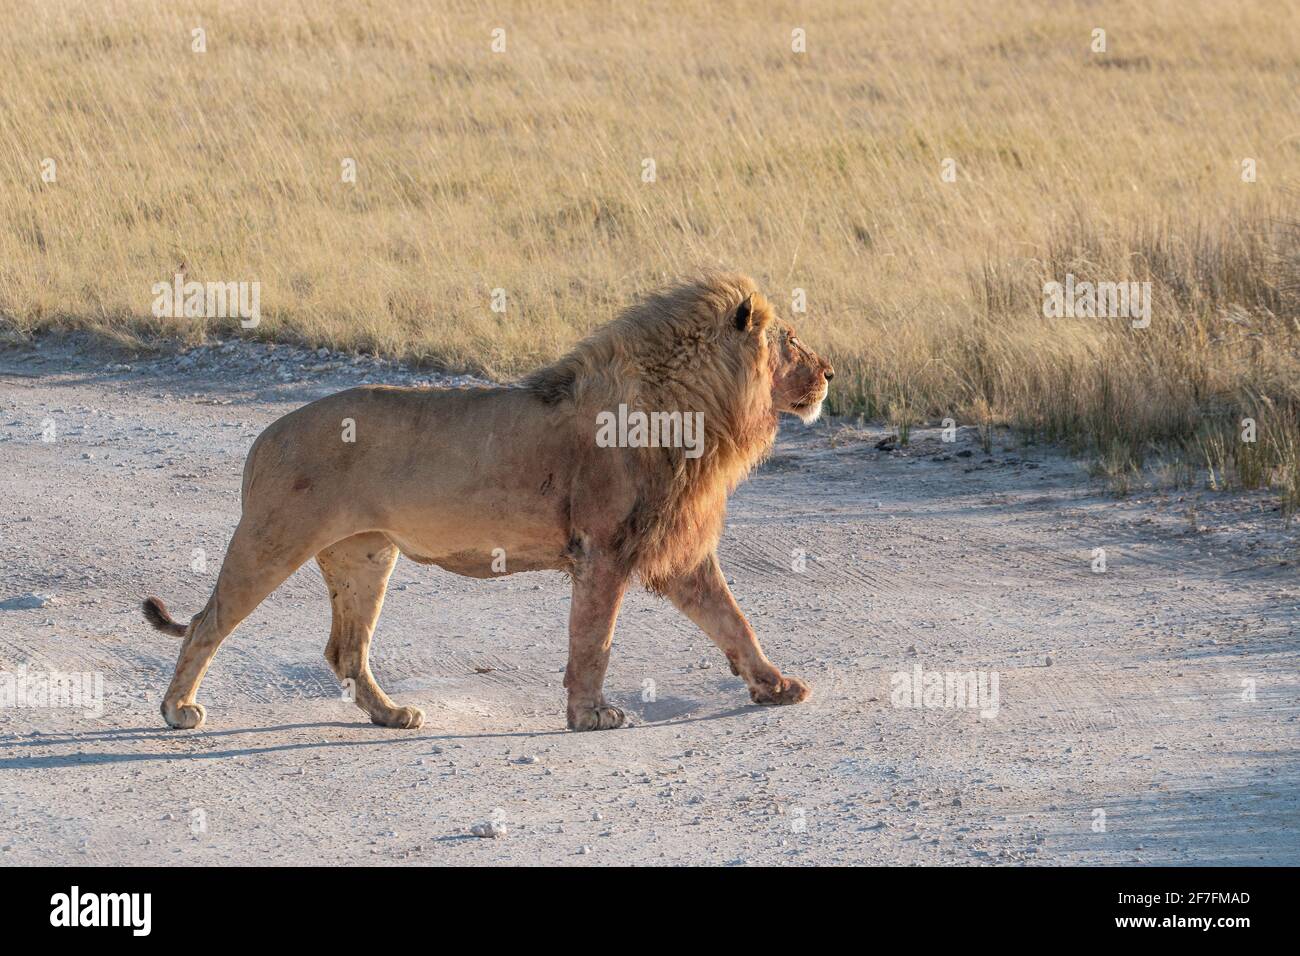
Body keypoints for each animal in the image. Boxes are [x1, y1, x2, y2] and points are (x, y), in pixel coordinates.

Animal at [143, 272, 834, 731]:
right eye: (791, 340)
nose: (830, 373)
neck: (696, 412)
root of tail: (265, 435)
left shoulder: (677, 549)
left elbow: (733, 620)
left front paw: (776, 686)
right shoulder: (603, 549)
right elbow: (594, 640)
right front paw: (591, 715)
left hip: (364, 556)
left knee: (346, 650)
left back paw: (391, 715)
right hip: (272, 539)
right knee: (206, 624)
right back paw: (179, 710)